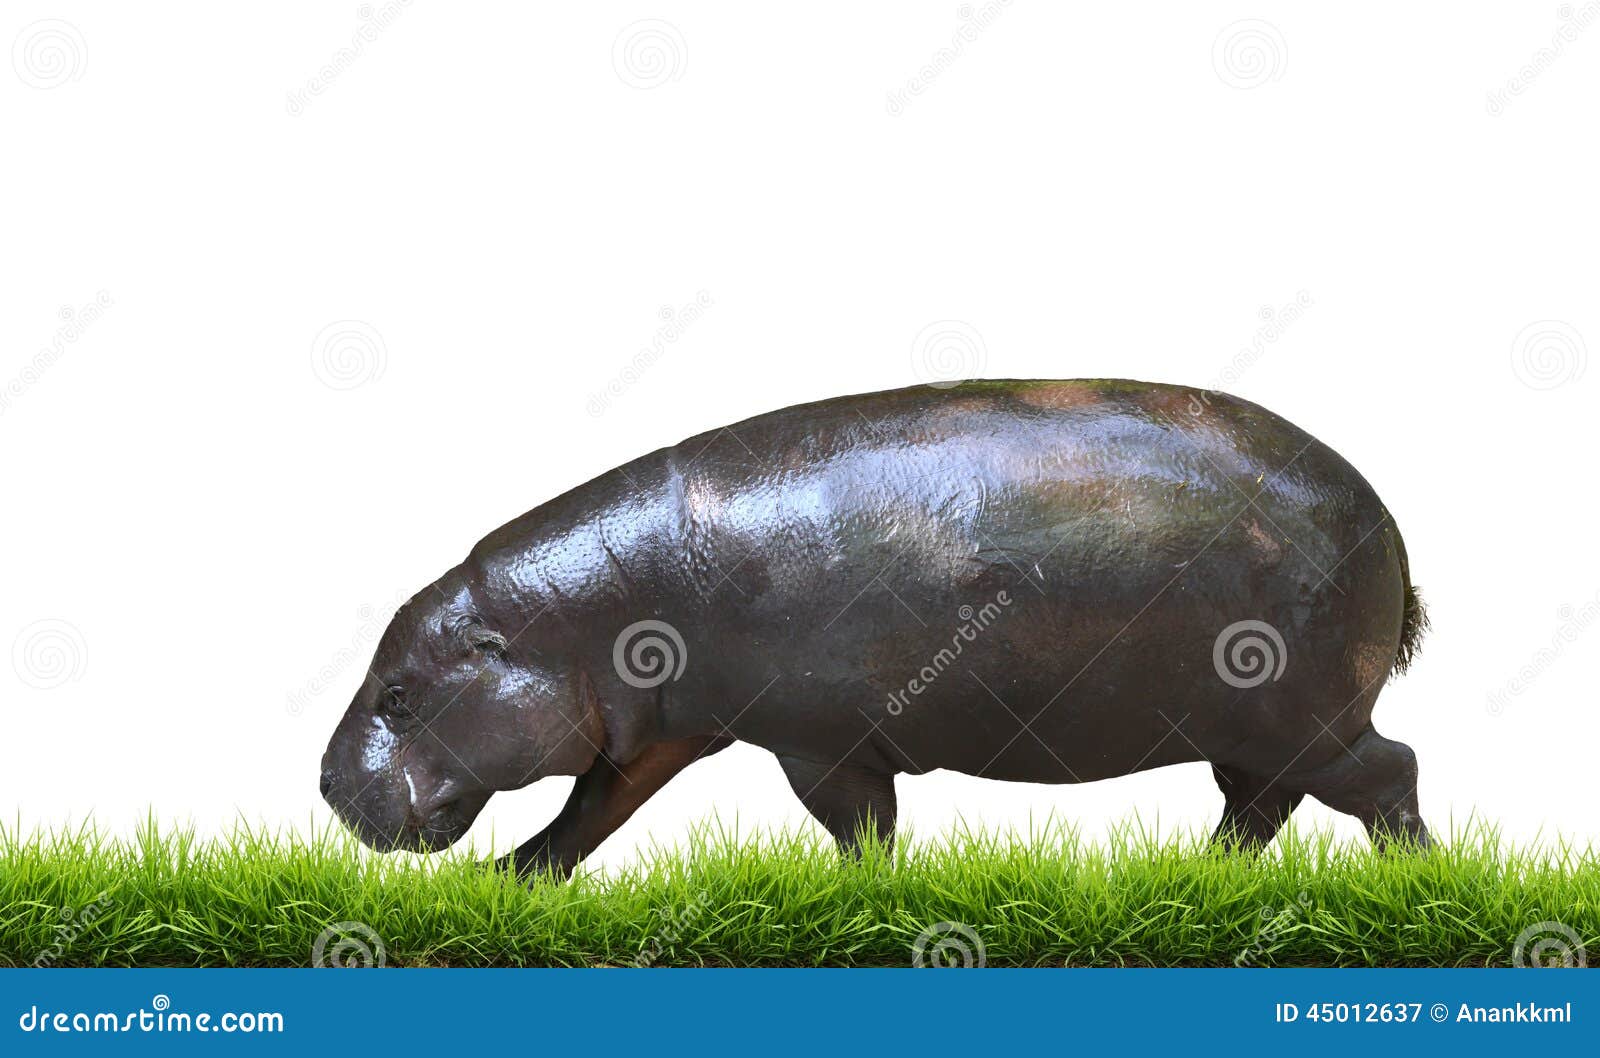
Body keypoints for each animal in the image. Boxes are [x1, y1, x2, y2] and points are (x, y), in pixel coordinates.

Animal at [320, 379, 1429, 877]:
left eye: (399, 694)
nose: (326, 785)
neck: (581, 620)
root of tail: (1387, 520)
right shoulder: (662, 729)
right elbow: (593, 810)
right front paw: (507, 881)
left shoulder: (817, 739)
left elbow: (857, 827)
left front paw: (860, 900)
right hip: (1255, 728)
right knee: (1260, 804)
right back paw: (1193, 876)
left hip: (1305, 717)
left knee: (1388, 773)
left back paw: (1415, 877)